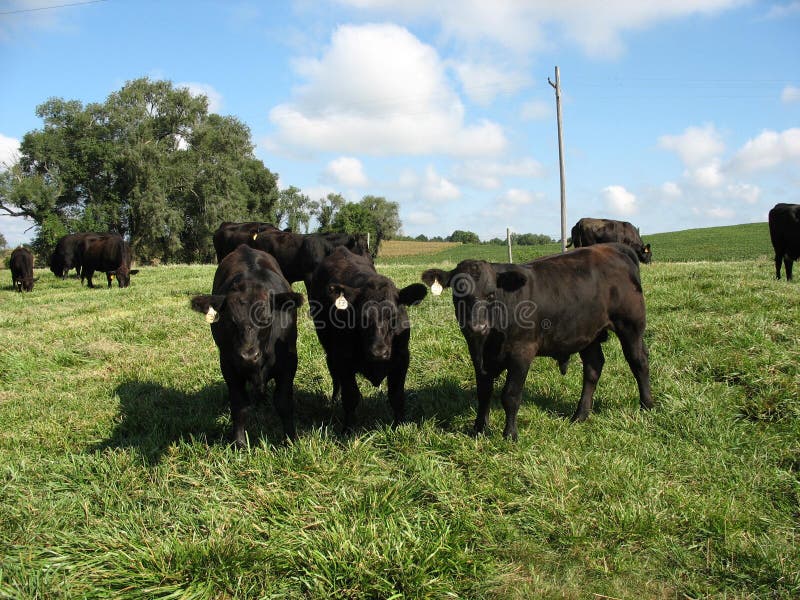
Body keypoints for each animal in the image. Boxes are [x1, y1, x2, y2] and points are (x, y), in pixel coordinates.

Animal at [191, 244, 304, 446]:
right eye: (229, 321)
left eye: (266, 319)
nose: (248, 356)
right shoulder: (228, 365)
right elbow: (239, 405)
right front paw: (239, 442)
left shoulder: (289, 363)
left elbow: (283, 402)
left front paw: (290, 439)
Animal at [308, 246, 427, 432]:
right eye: (361, 317)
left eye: (393, 315)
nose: (379, 352)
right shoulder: (343, 359)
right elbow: (350, 397)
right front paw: (348, 430)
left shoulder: (402, 358)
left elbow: (397, 396)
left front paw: (399, 426)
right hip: (327, 346)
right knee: (333, 373)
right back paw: (334, 400)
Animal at [421, 243, 653, 440]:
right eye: (458, 293)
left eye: (491, 294)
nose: (477, 327)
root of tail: (615, 247)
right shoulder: (478, 355)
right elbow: (484, 392)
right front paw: (479, 429)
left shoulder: (522, 352)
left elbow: (510, 395)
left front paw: (510, 435)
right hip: (587, 332)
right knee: (593, 368)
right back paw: (580, 415)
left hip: (630, 325)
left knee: (638, 361)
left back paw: (647, 406)